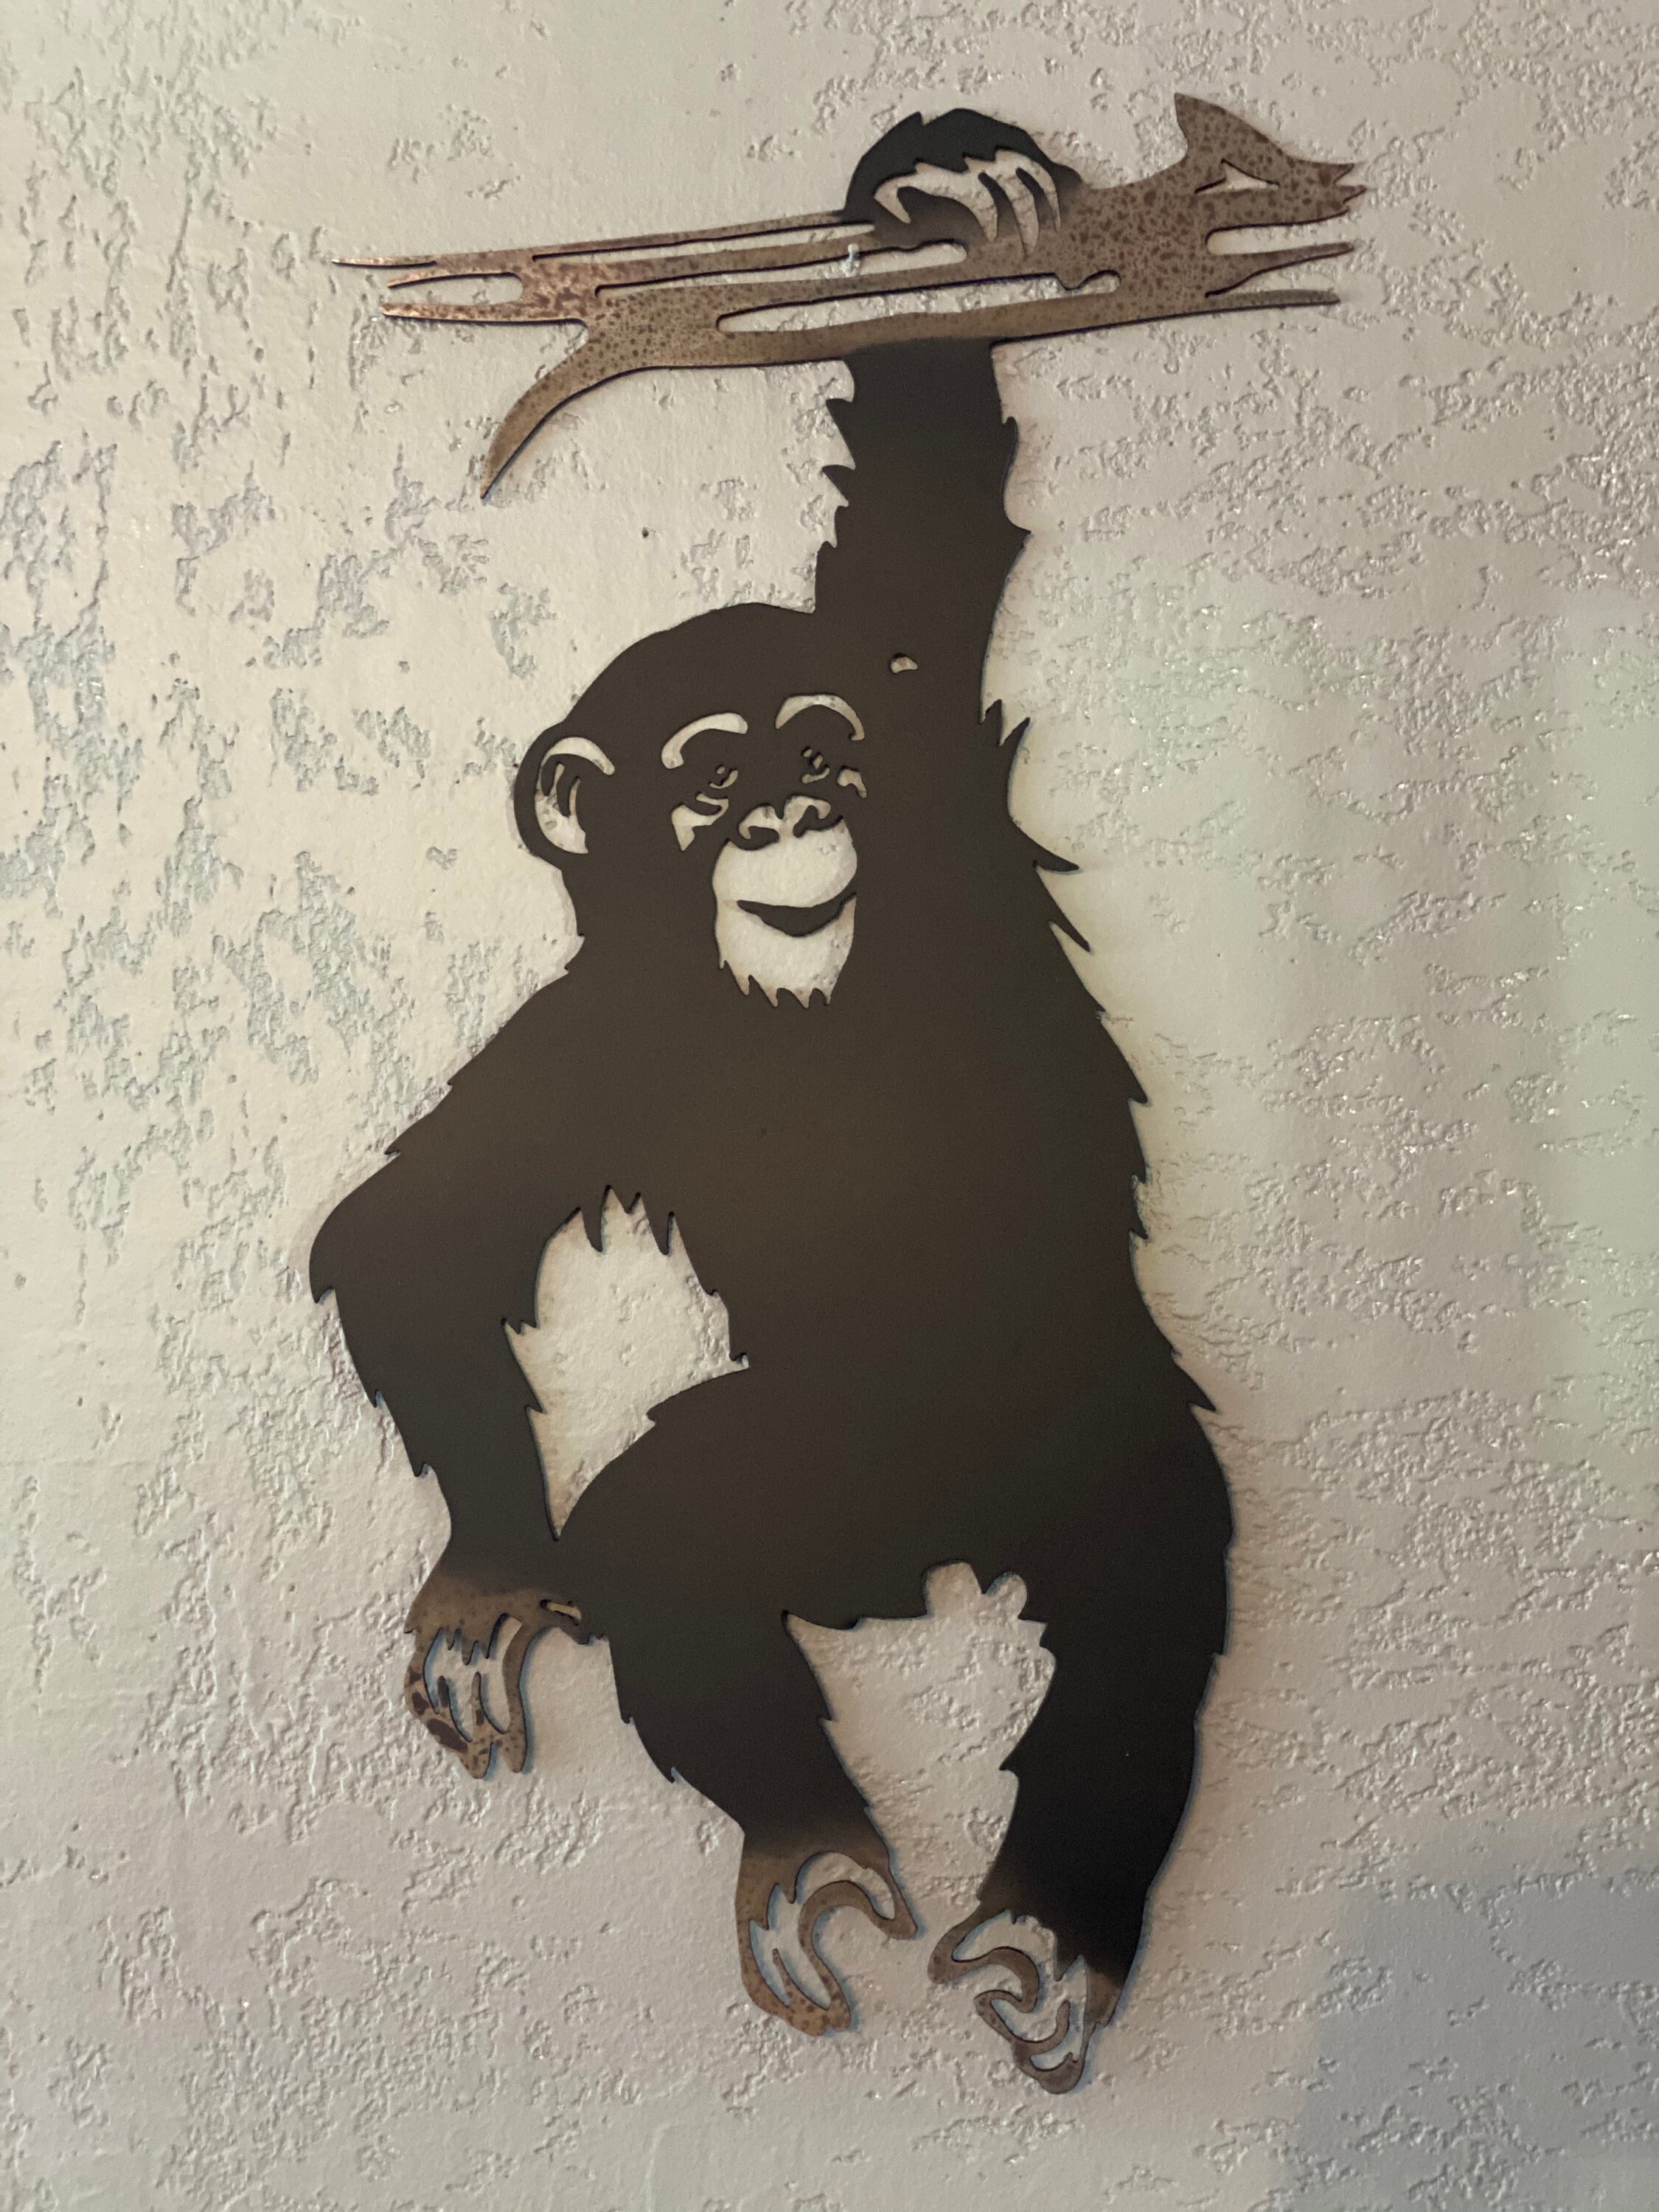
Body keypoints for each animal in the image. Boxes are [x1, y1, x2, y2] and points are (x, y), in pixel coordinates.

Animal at [311, 113, 1232, 2092]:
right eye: (705, 778)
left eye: (819, 749)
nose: (788, 817)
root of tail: (935, 1556)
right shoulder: (602, 1030)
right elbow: (423, 1230)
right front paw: (486, 1571)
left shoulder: (937, 762)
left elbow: (924, 504)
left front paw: (954, 192)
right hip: (806, 1467)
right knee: (662, 1542)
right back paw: (803, 1846)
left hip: (1095, 1426)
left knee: (1143, 1615)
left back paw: (1050, 1921)